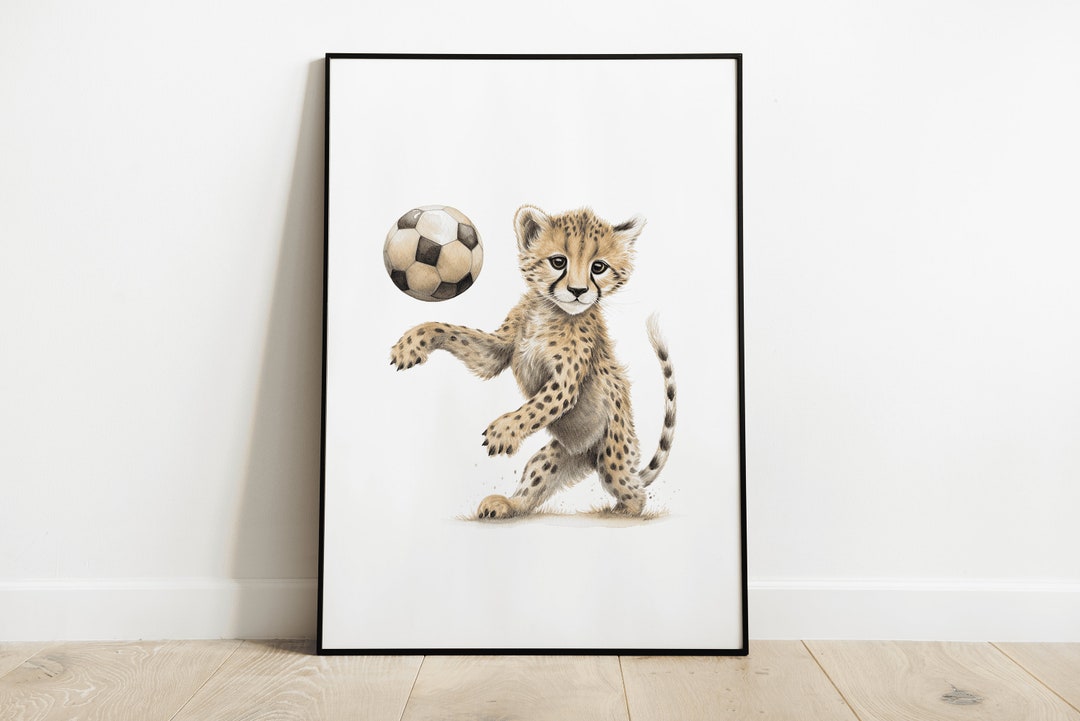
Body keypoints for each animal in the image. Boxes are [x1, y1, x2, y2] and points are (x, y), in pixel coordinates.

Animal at [389, 204, 676, 519]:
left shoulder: (565, 383)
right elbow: (453, 332)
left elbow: (537, 406)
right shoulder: (497, 351)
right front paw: (412, 342)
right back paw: (505, 505)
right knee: (535, 483)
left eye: (598, 267)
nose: (578, 291)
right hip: (557, 456)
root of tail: (585, 453)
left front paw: (503, 431)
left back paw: (620, 510)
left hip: (613, 454)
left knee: (632, 490)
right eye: (558, 261)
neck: (550, 311)